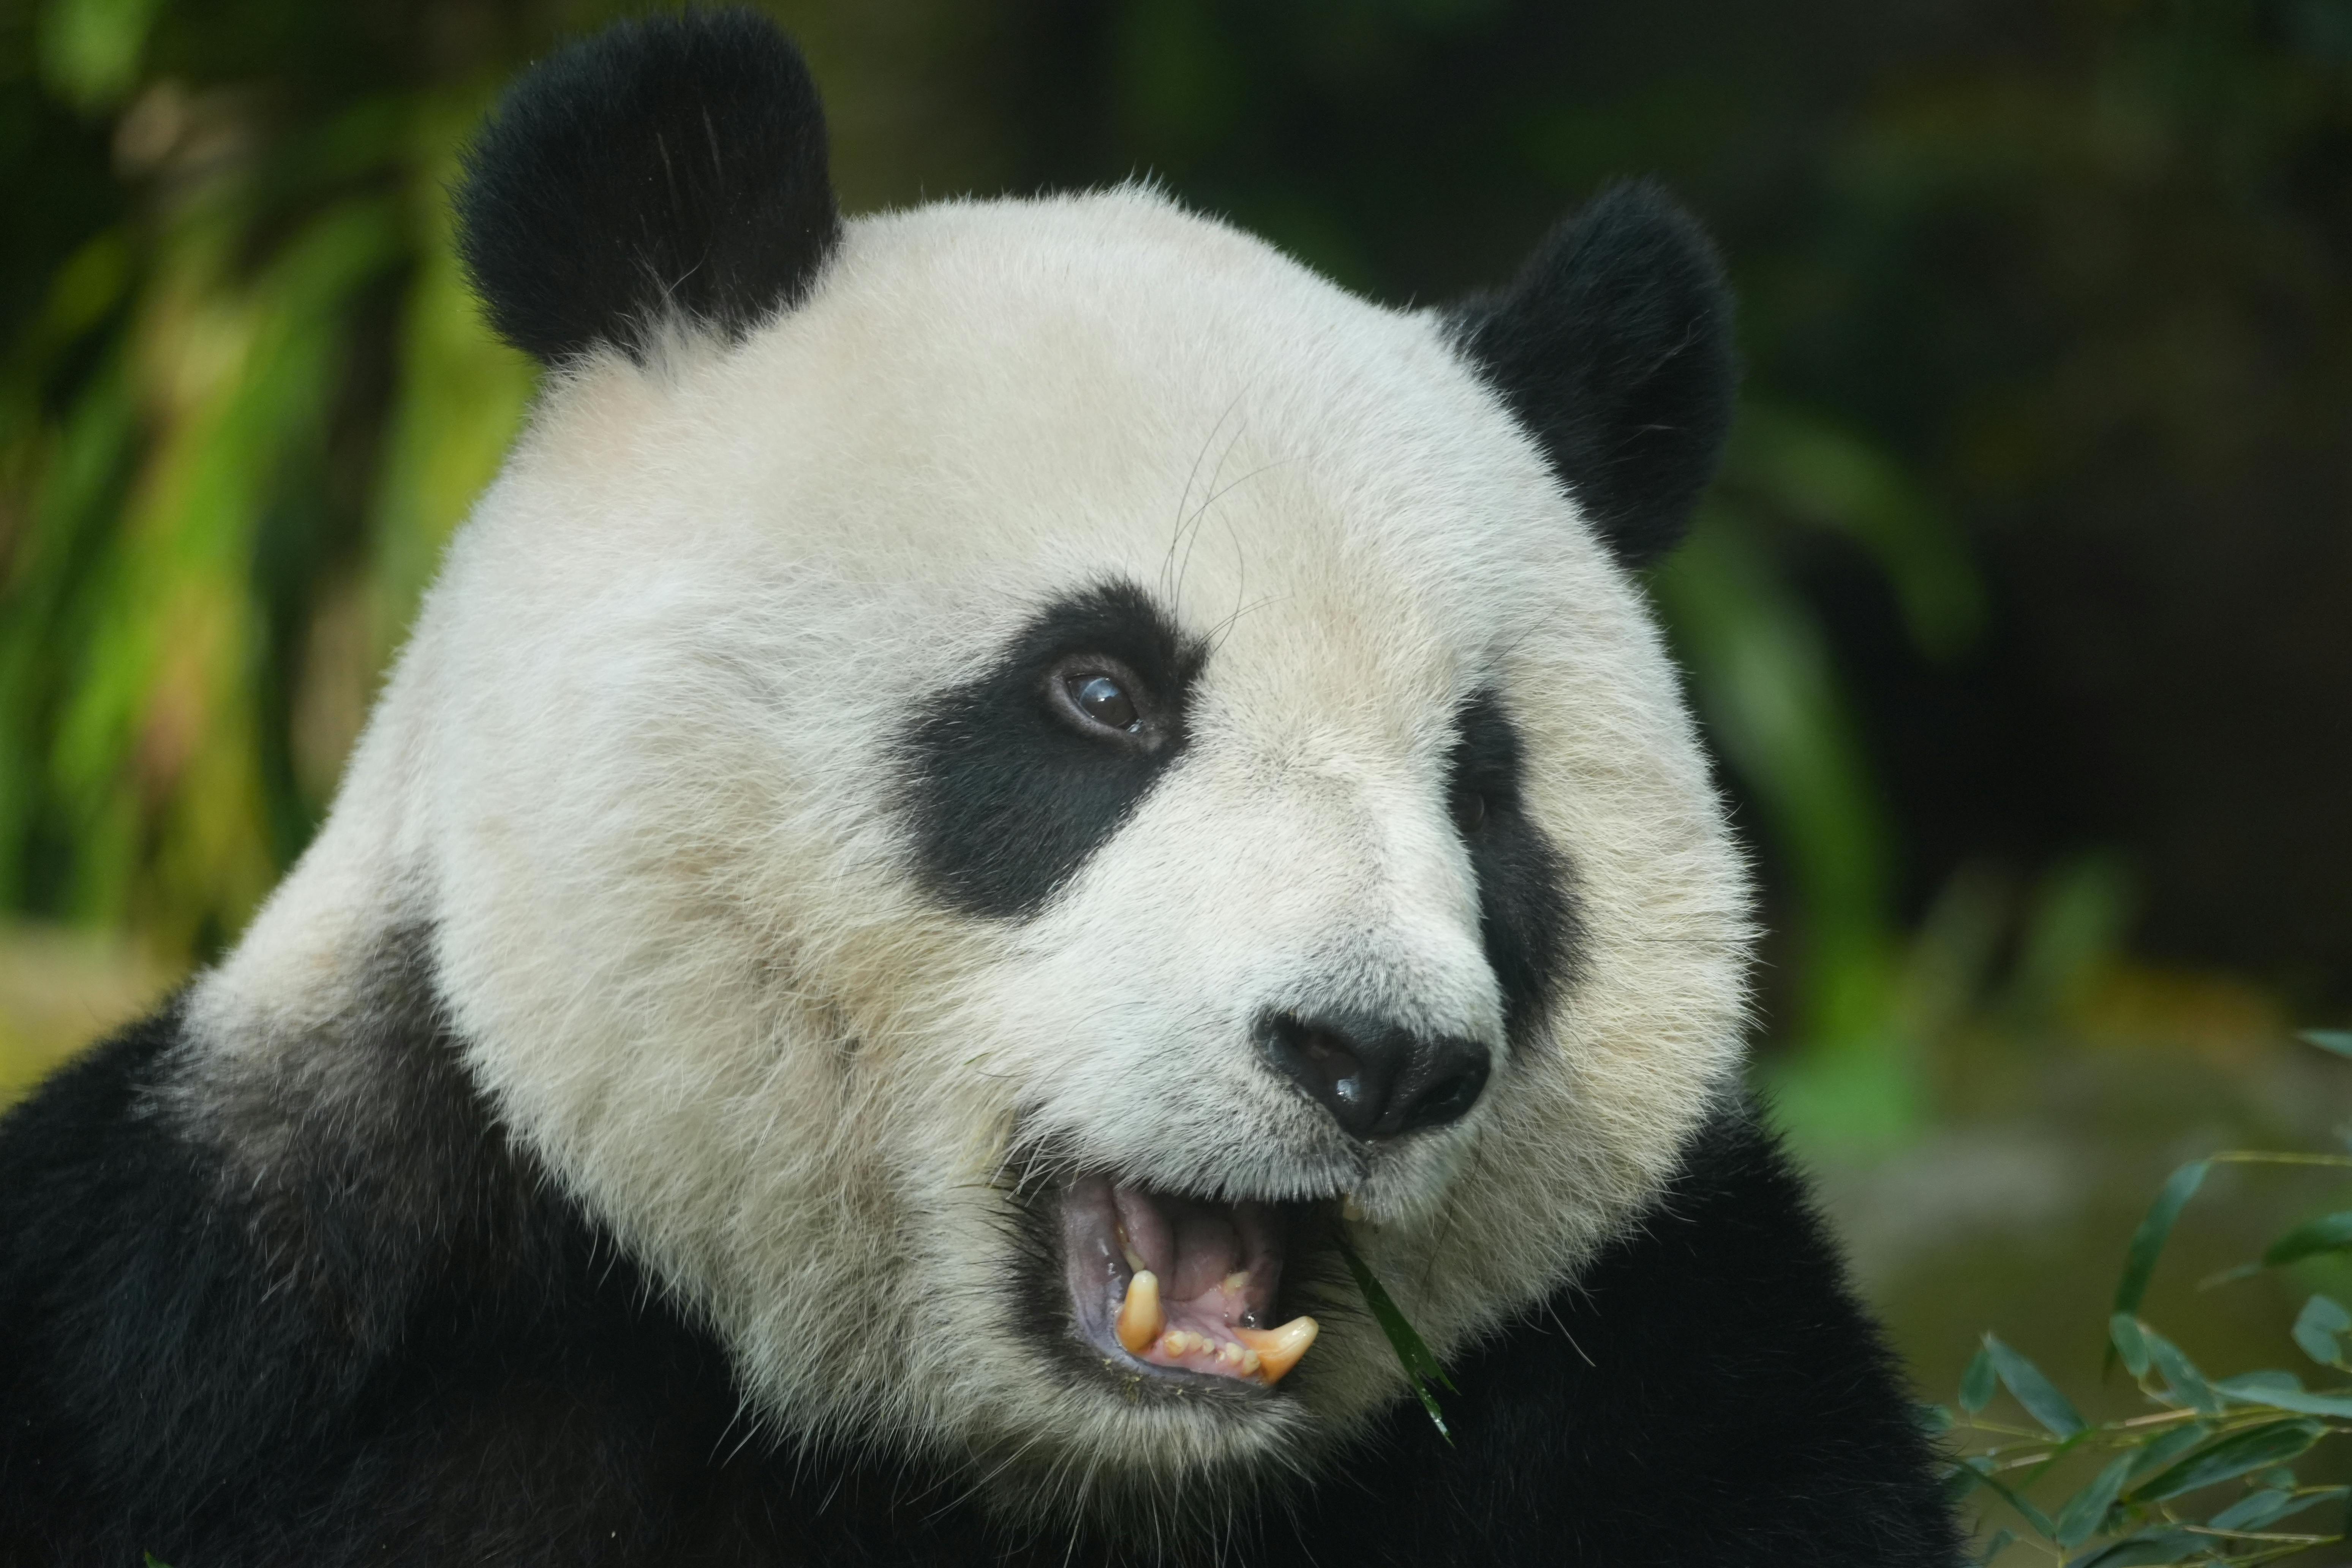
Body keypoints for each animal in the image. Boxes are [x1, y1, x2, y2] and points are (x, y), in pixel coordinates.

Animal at [0, 11, 1961, 1566]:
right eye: (1099, 693)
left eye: (1481, 785)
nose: (1378, 1056)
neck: (1046, 1466)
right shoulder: (258, 1329)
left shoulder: (1666, 1376)